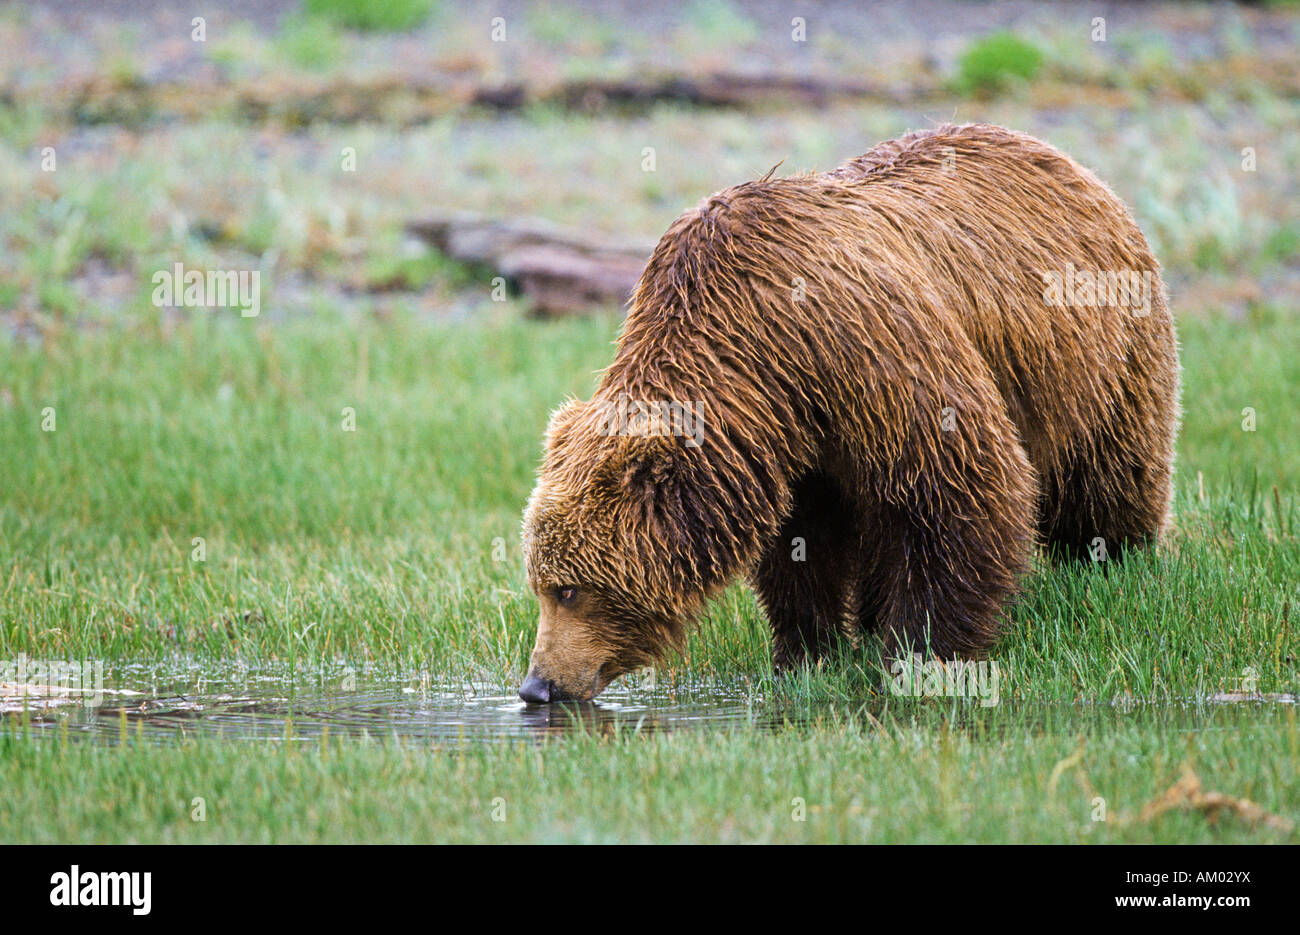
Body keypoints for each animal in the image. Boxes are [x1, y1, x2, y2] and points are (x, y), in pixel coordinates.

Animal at [519, 123, 1180, 703]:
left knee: (1106, 475)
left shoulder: (864, 353)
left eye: (569, 589)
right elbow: (801, 544)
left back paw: (1111, 564)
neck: (756, 354)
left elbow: (957, 485)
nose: (537, 685)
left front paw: (919, 652)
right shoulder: (788, 441)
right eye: (539, 582)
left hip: (1098, 358)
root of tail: (1065, 161)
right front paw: (808, 653)